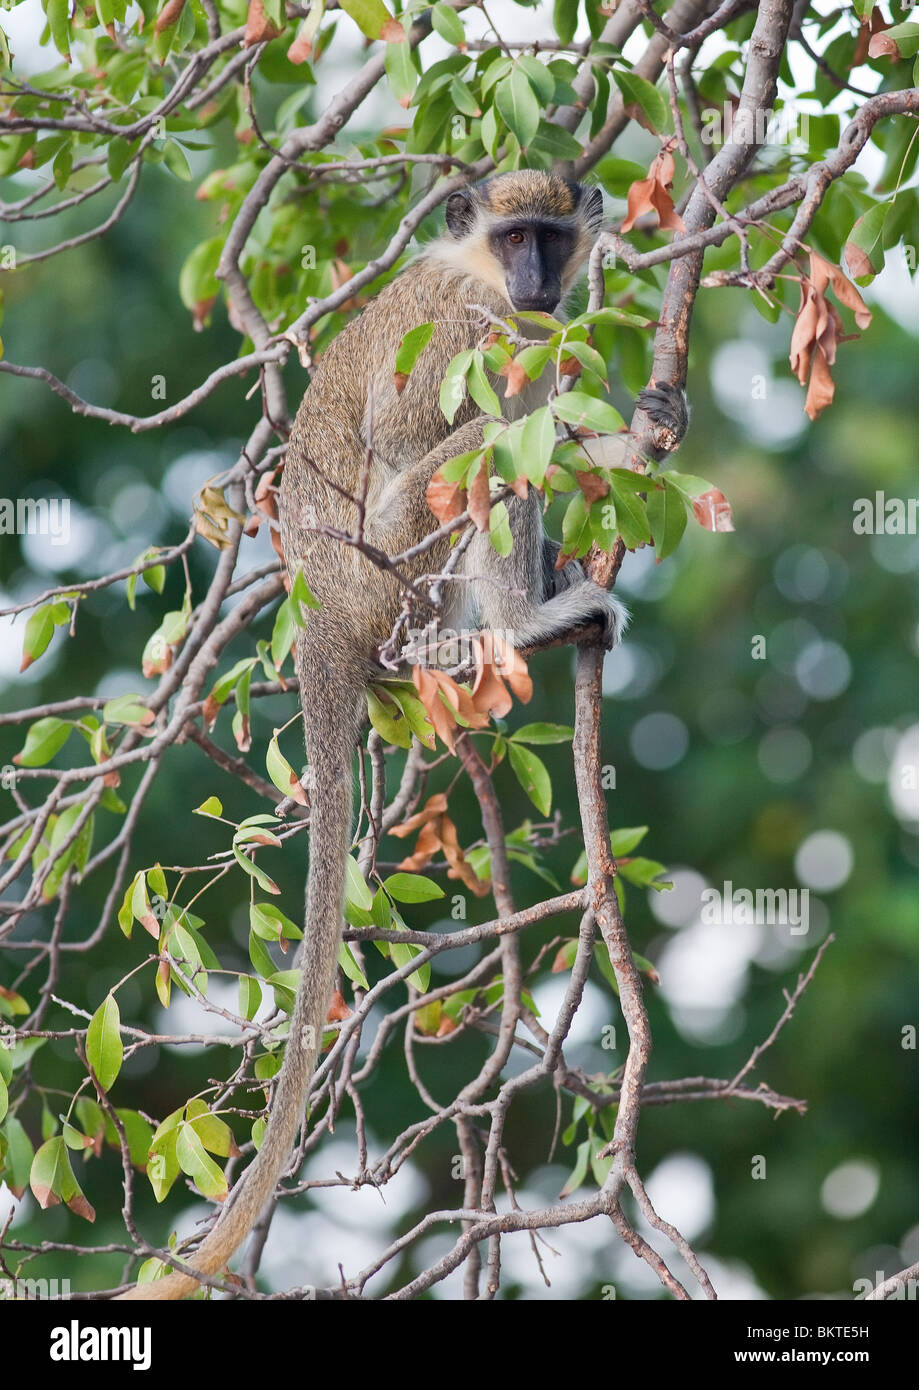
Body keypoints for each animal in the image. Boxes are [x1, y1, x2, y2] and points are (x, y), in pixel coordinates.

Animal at [116, 170, 688, 1300]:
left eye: (549, 236)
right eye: (511, 238)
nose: (536, 279)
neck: (480, 278)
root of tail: (321, 616)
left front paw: (650, 416)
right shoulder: (467, 324)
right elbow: (439, 423)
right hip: (396, 562)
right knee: (487, 444)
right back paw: (518, 624)